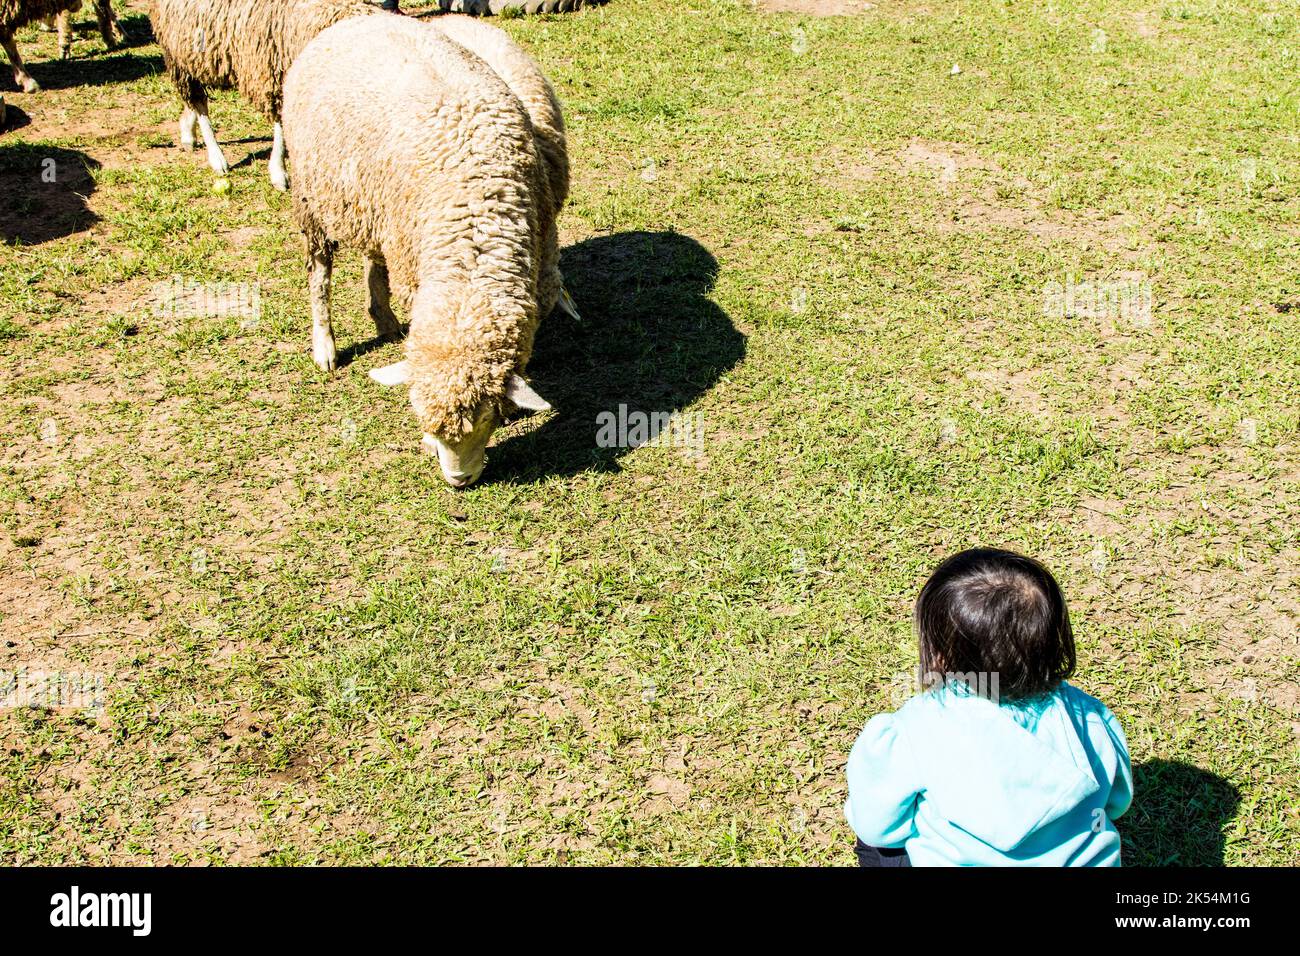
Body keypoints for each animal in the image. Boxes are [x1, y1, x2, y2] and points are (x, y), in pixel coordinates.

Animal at [149, 0, 381, 190]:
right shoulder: (274, 70)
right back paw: (216, 157)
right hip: (183, 46)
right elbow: (280, 126)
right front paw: (278, 172)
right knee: (198, 102)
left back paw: (188, 130)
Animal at [282, 14, 564, 487]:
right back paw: (325, 346)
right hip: (313, 198)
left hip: (375, 211)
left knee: (373, 260)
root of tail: (358, 18)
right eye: (426, 424)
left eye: (485, 419)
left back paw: (383, 318)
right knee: (319, 273)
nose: (459, 481)